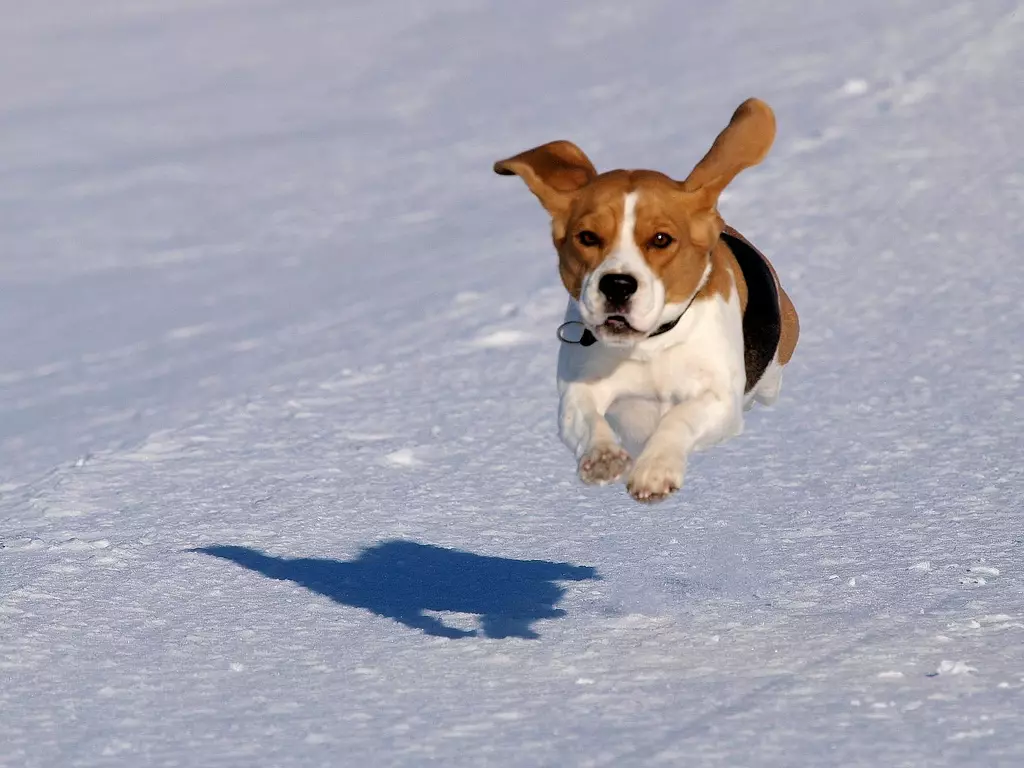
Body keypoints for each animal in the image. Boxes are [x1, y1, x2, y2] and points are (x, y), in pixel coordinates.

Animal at [493, 97, 798, 505]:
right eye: (587, 237)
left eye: (660, 239)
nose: (618, 285)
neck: (650, 345)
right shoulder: (576, 391)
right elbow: (586, 415)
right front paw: (603, 457)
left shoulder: (719, 400)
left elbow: (678, 418)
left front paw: (655, 470)